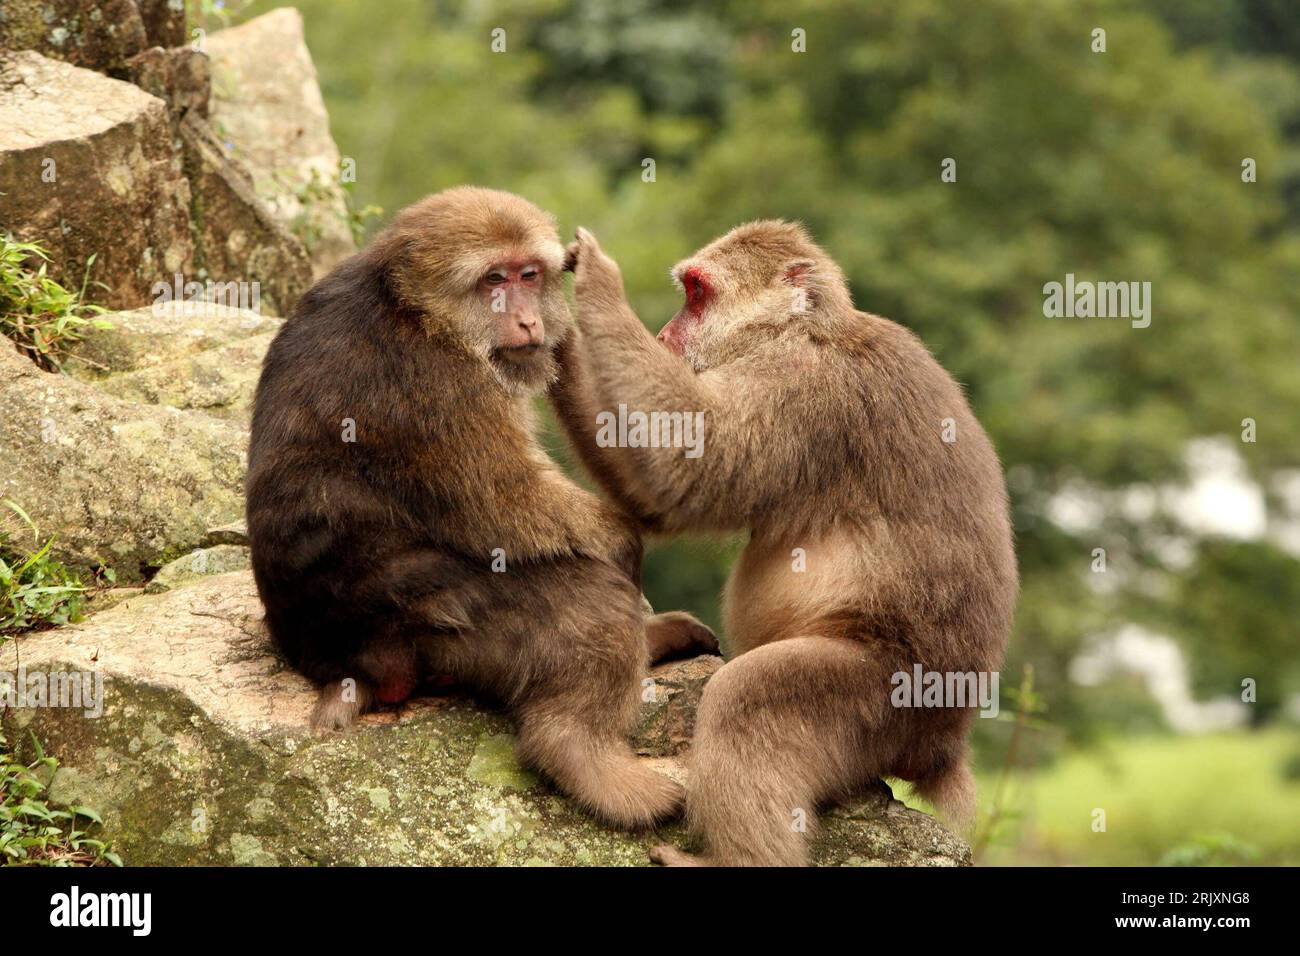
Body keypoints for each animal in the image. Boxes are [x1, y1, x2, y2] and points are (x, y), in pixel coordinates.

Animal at [246, 186, 716, 829]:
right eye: (494, 278)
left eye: (528, 275)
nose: (528, 318)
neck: (417, 313)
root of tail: (345, 669)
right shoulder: (436, 386)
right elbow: (509, 505)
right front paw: (624, 544)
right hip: (428, 623)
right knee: (585, 598)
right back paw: (583, 756)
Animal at [551, 223, 1017, 863]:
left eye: (696, 293)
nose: (664, 336)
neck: (803, 329)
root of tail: (944, 745)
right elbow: (654, 489)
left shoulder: (797, 383)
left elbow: (691, 467)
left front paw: (596, 286)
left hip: (885, 696)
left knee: (747, 702)